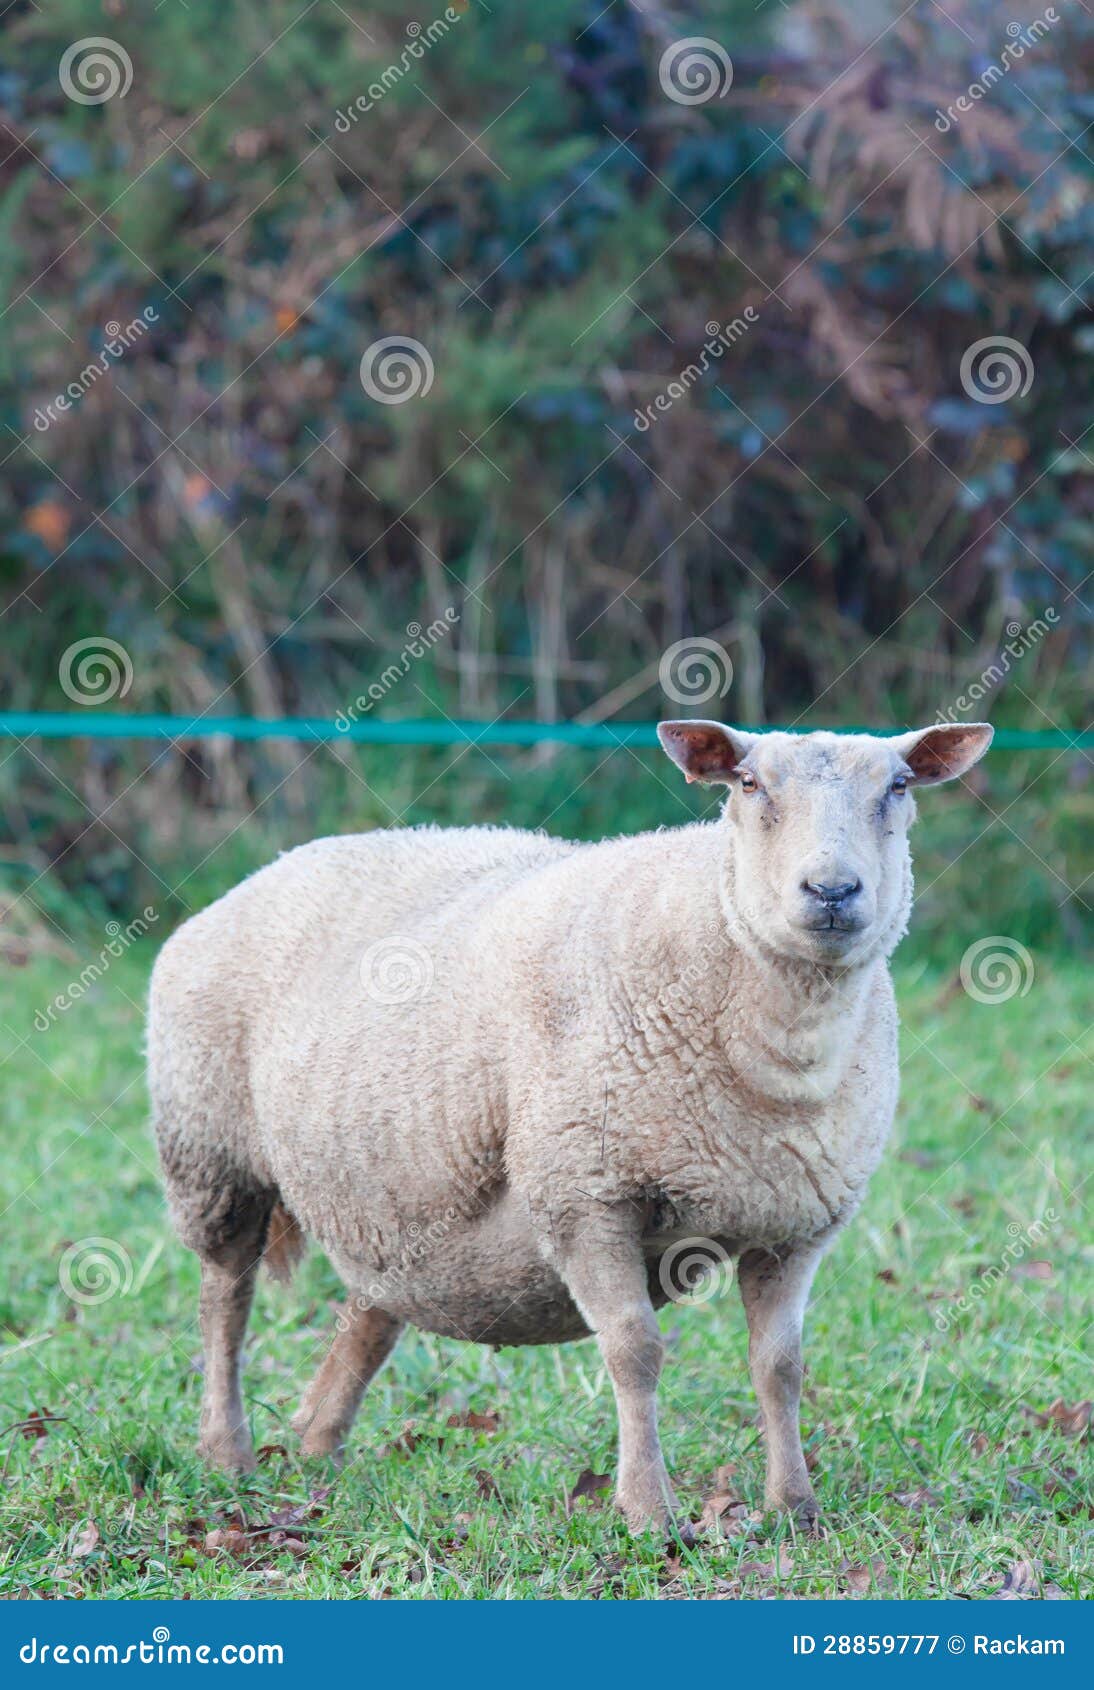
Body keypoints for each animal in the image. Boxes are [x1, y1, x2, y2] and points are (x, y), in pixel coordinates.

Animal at [148, 719, 992, 1535]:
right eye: (749, 784)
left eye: (899, 785)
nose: (832, 890)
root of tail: (266, 871)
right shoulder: (586, 1193)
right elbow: (634, 1351)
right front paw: (649, 1512)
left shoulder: (799, 1221)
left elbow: (779, 1366)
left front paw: (796, 1507)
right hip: (212, 1152)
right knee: (225, 1301)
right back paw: (227, 1452)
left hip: (401, 1195)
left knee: (370, 1310)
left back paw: (319, 1444)